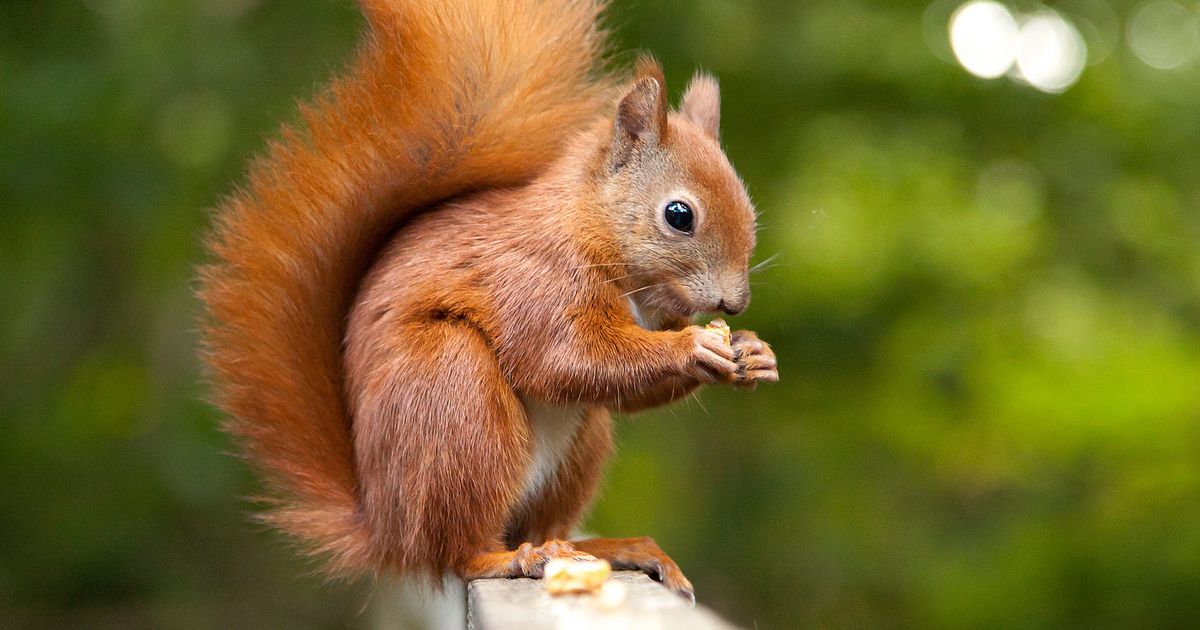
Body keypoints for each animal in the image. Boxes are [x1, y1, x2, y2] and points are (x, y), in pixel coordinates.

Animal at [198, 0, 777, 601]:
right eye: (679, 215)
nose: (734, 305)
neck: (593, 231)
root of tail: (385, 528)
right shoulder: (534, 281)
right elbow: (566, 358)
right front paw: (693, 348)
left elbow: (624, 391)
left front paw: (754, 352)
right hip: (455, 394)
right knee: (459, 551)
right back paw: (510, 558)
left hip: (574, 448)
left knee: (540, 522)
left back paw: (608, 549)